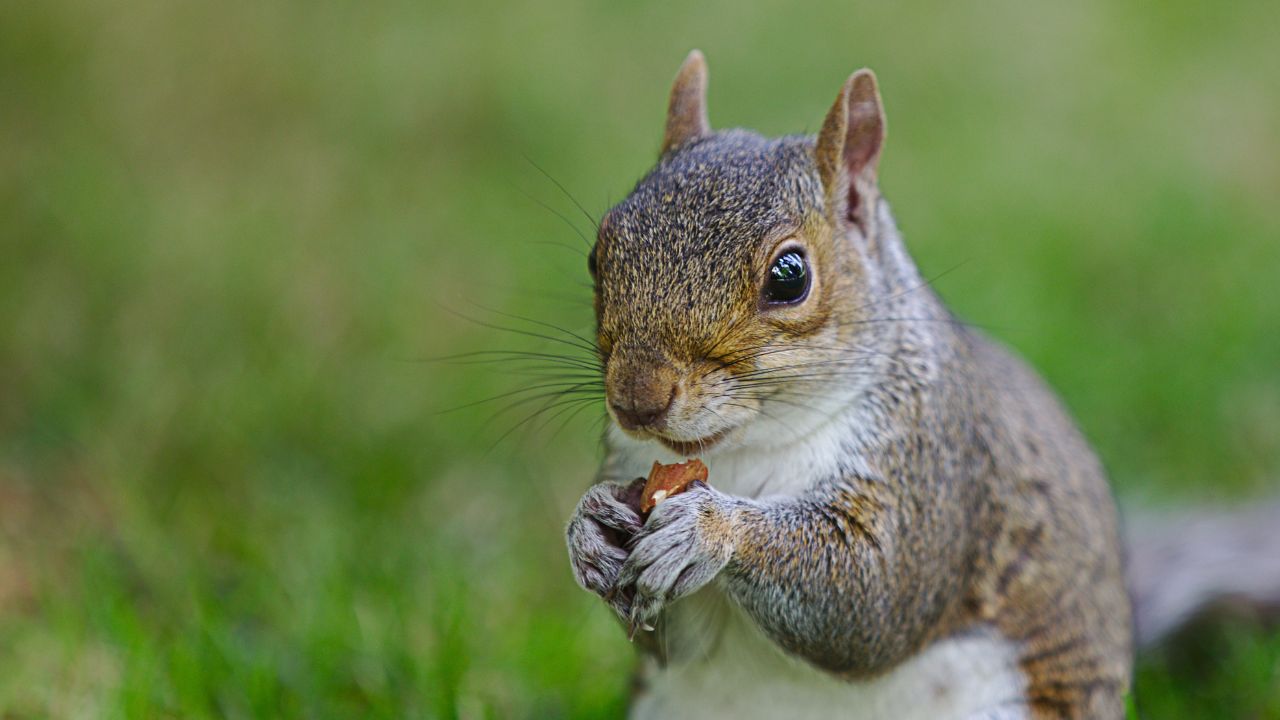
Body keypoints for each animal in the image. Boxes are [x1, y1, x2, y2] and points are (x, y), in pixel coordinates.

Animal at [564, 51, 1280, 720]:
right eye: (598, 254)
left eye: (790, 276)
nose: (636, 400)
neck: (747, 447)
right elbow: (660, 637)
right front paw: (588, 528)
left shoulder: (935, 465)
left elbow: (875, 597)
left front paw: (710, 528)